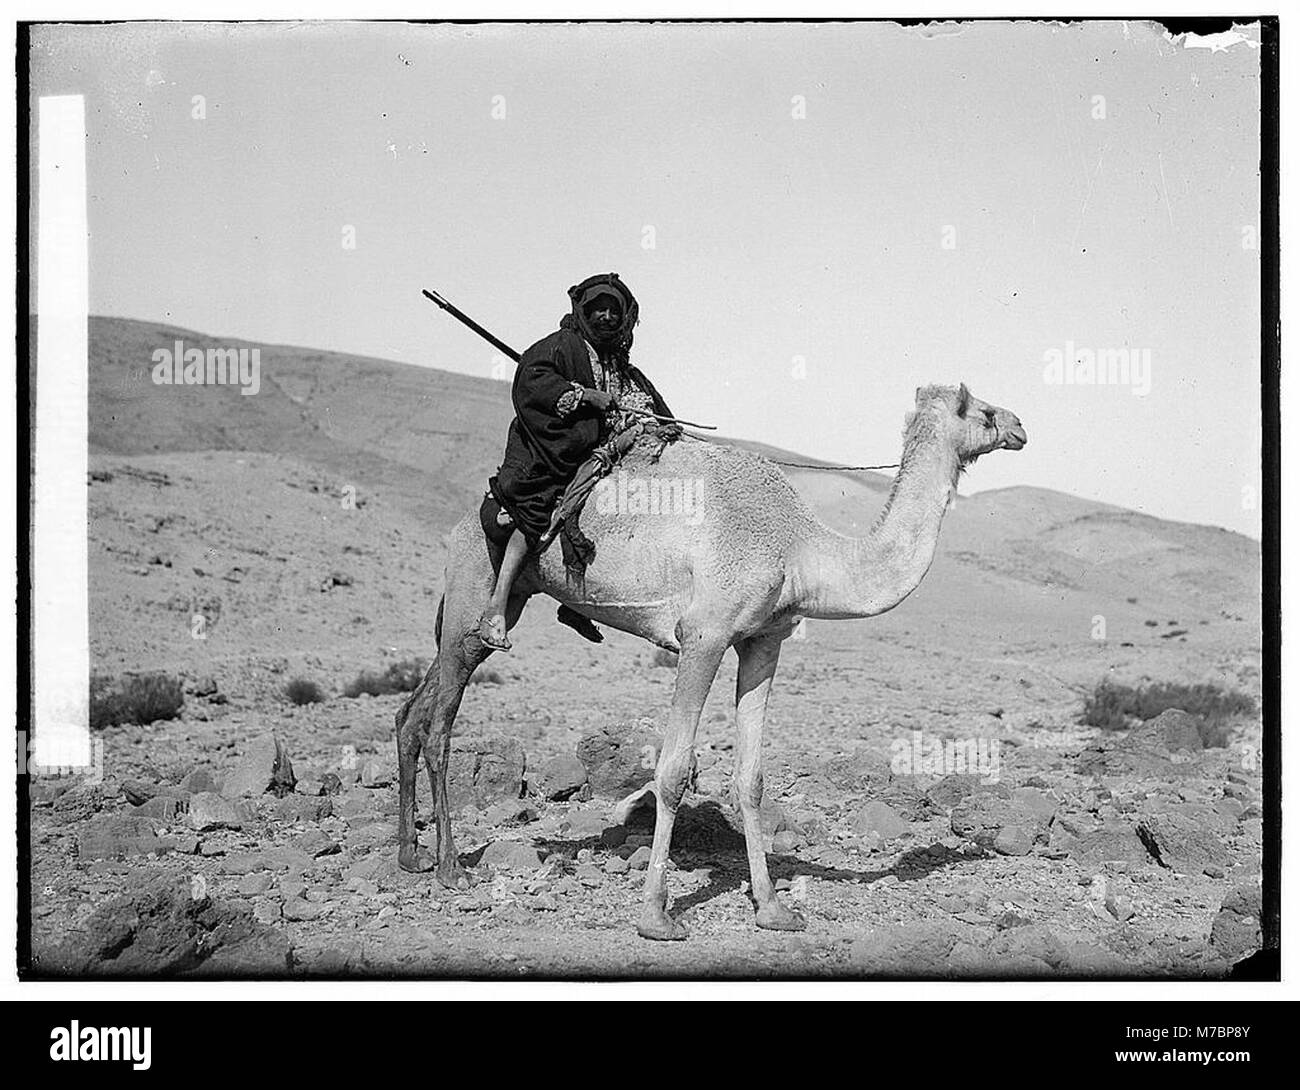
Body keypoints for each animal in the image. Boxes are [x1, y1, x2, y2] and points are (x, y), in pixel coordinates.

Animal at [395, 383, 1026, 940]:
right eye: (984, 411)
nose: (1021, 426)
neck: (801, 549)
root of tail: (462, 524)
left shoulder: (763, 641)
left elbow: (751, 777)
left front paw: (772, 909)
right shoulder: (703, 634)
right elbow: (673, 770)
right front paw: (656, 915)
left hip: (476, 615)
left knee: (411, 712)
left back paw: (409, 855)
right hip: (475, 593)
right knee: (440, 722)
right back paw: (450, 867)